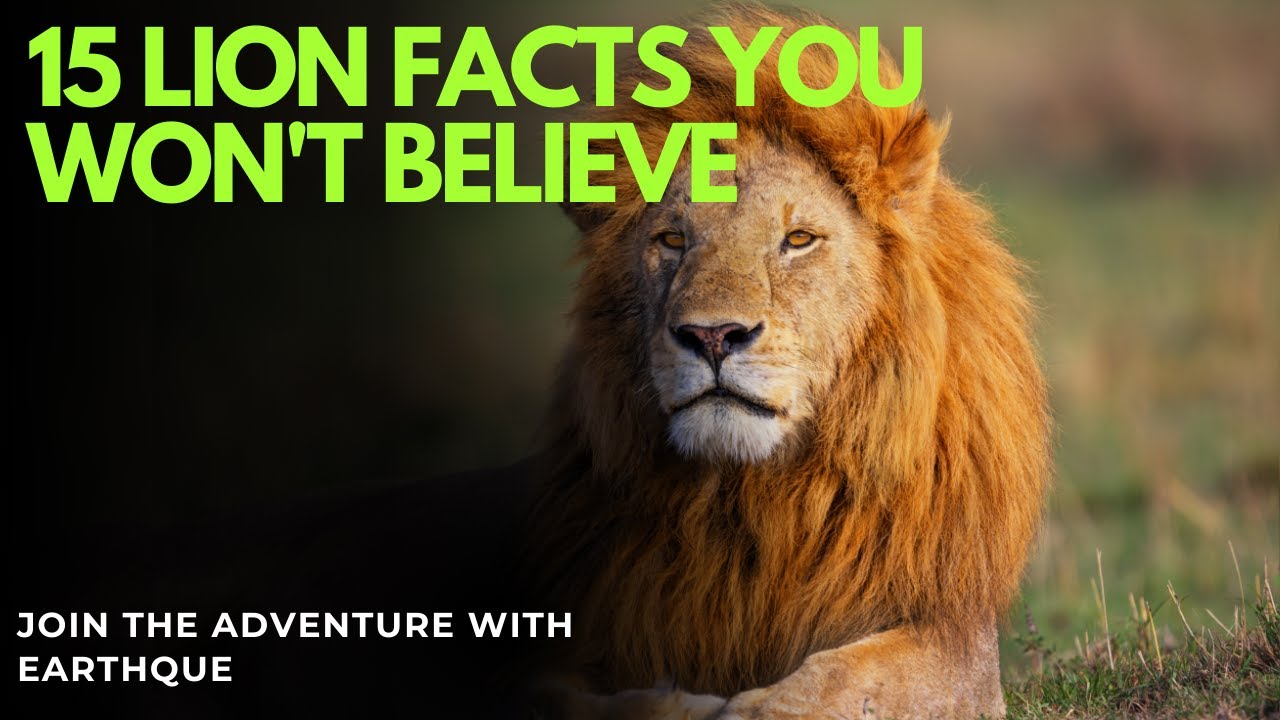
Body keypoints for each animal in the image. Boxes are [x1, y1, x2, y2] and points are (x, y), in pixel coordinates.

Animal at [523, 5, 1050, 719]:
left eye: (798, 239)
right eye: (672, 239)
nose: (713, 335)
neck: (750, 497)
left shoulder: (953, 640)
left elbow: (846, 677)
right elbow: (568, 693)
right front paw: (679, 703)